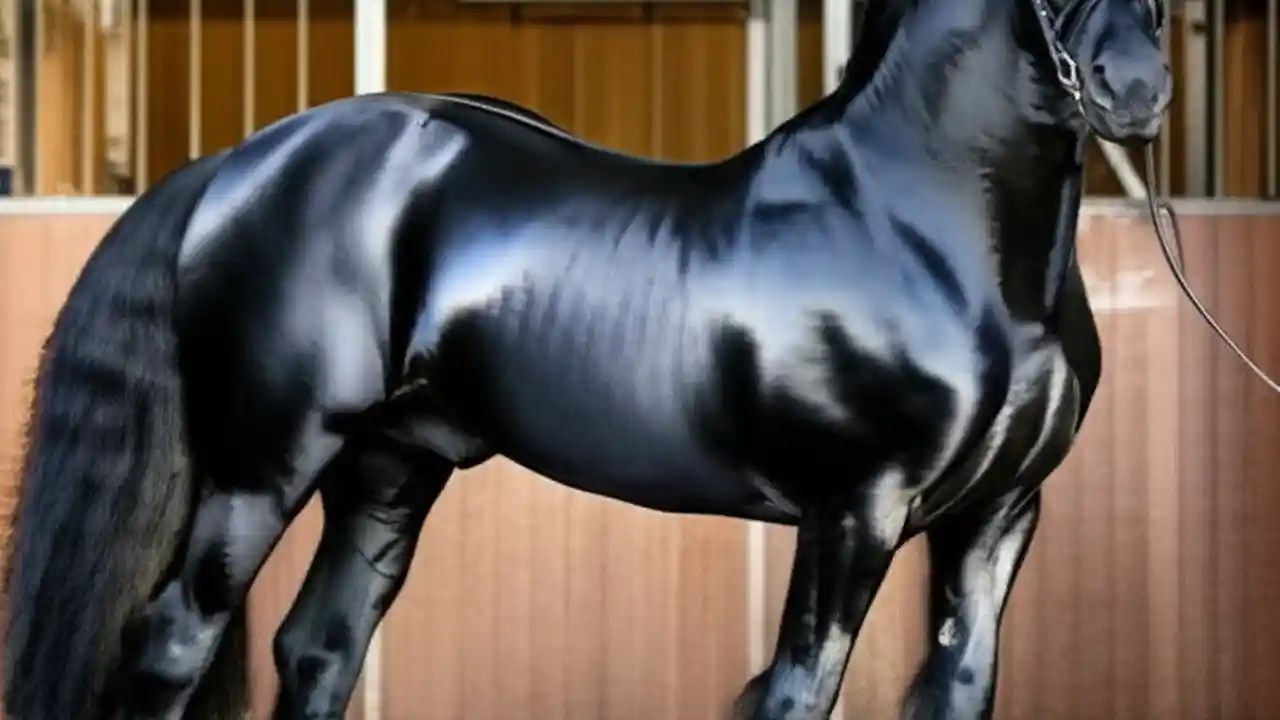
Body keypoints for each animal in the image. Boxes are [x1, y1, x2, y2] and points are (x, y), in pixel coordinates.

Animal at [1, 0, 1171, 717]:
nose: (1136, 91)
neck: (920, 224)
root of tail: (235, 163)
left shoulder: (997, 516)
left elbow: (958, 686)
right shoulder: (852, 513)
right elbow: (799, 688)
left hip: (388, 468)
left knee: (319, 648)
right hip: (261, 470)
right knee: (170, 647)